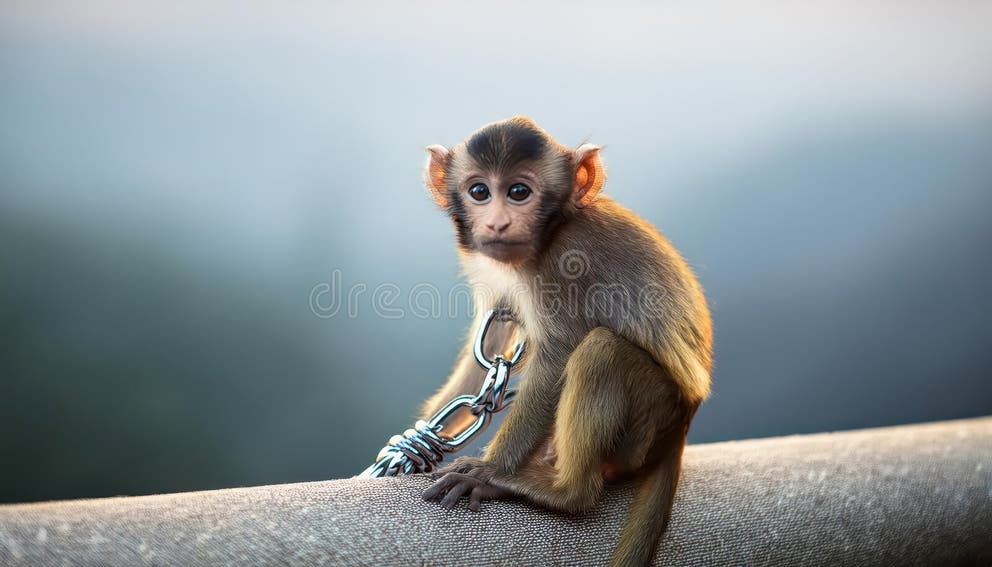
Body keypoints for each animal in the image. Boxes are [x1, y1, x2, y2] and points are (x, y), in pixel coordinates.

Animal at [418, 116, 712, 567]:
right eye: (479, 191)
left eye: (519, 192)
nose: (497, 223)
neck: (548, 234)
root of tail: (681, 423)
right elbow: (491, 347)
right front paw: (420, 442)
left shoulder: (563, 265)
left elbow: (557, 358)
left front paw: (492, 471)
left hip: (650, 417)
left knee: (601, 351)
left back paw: (563, 493)